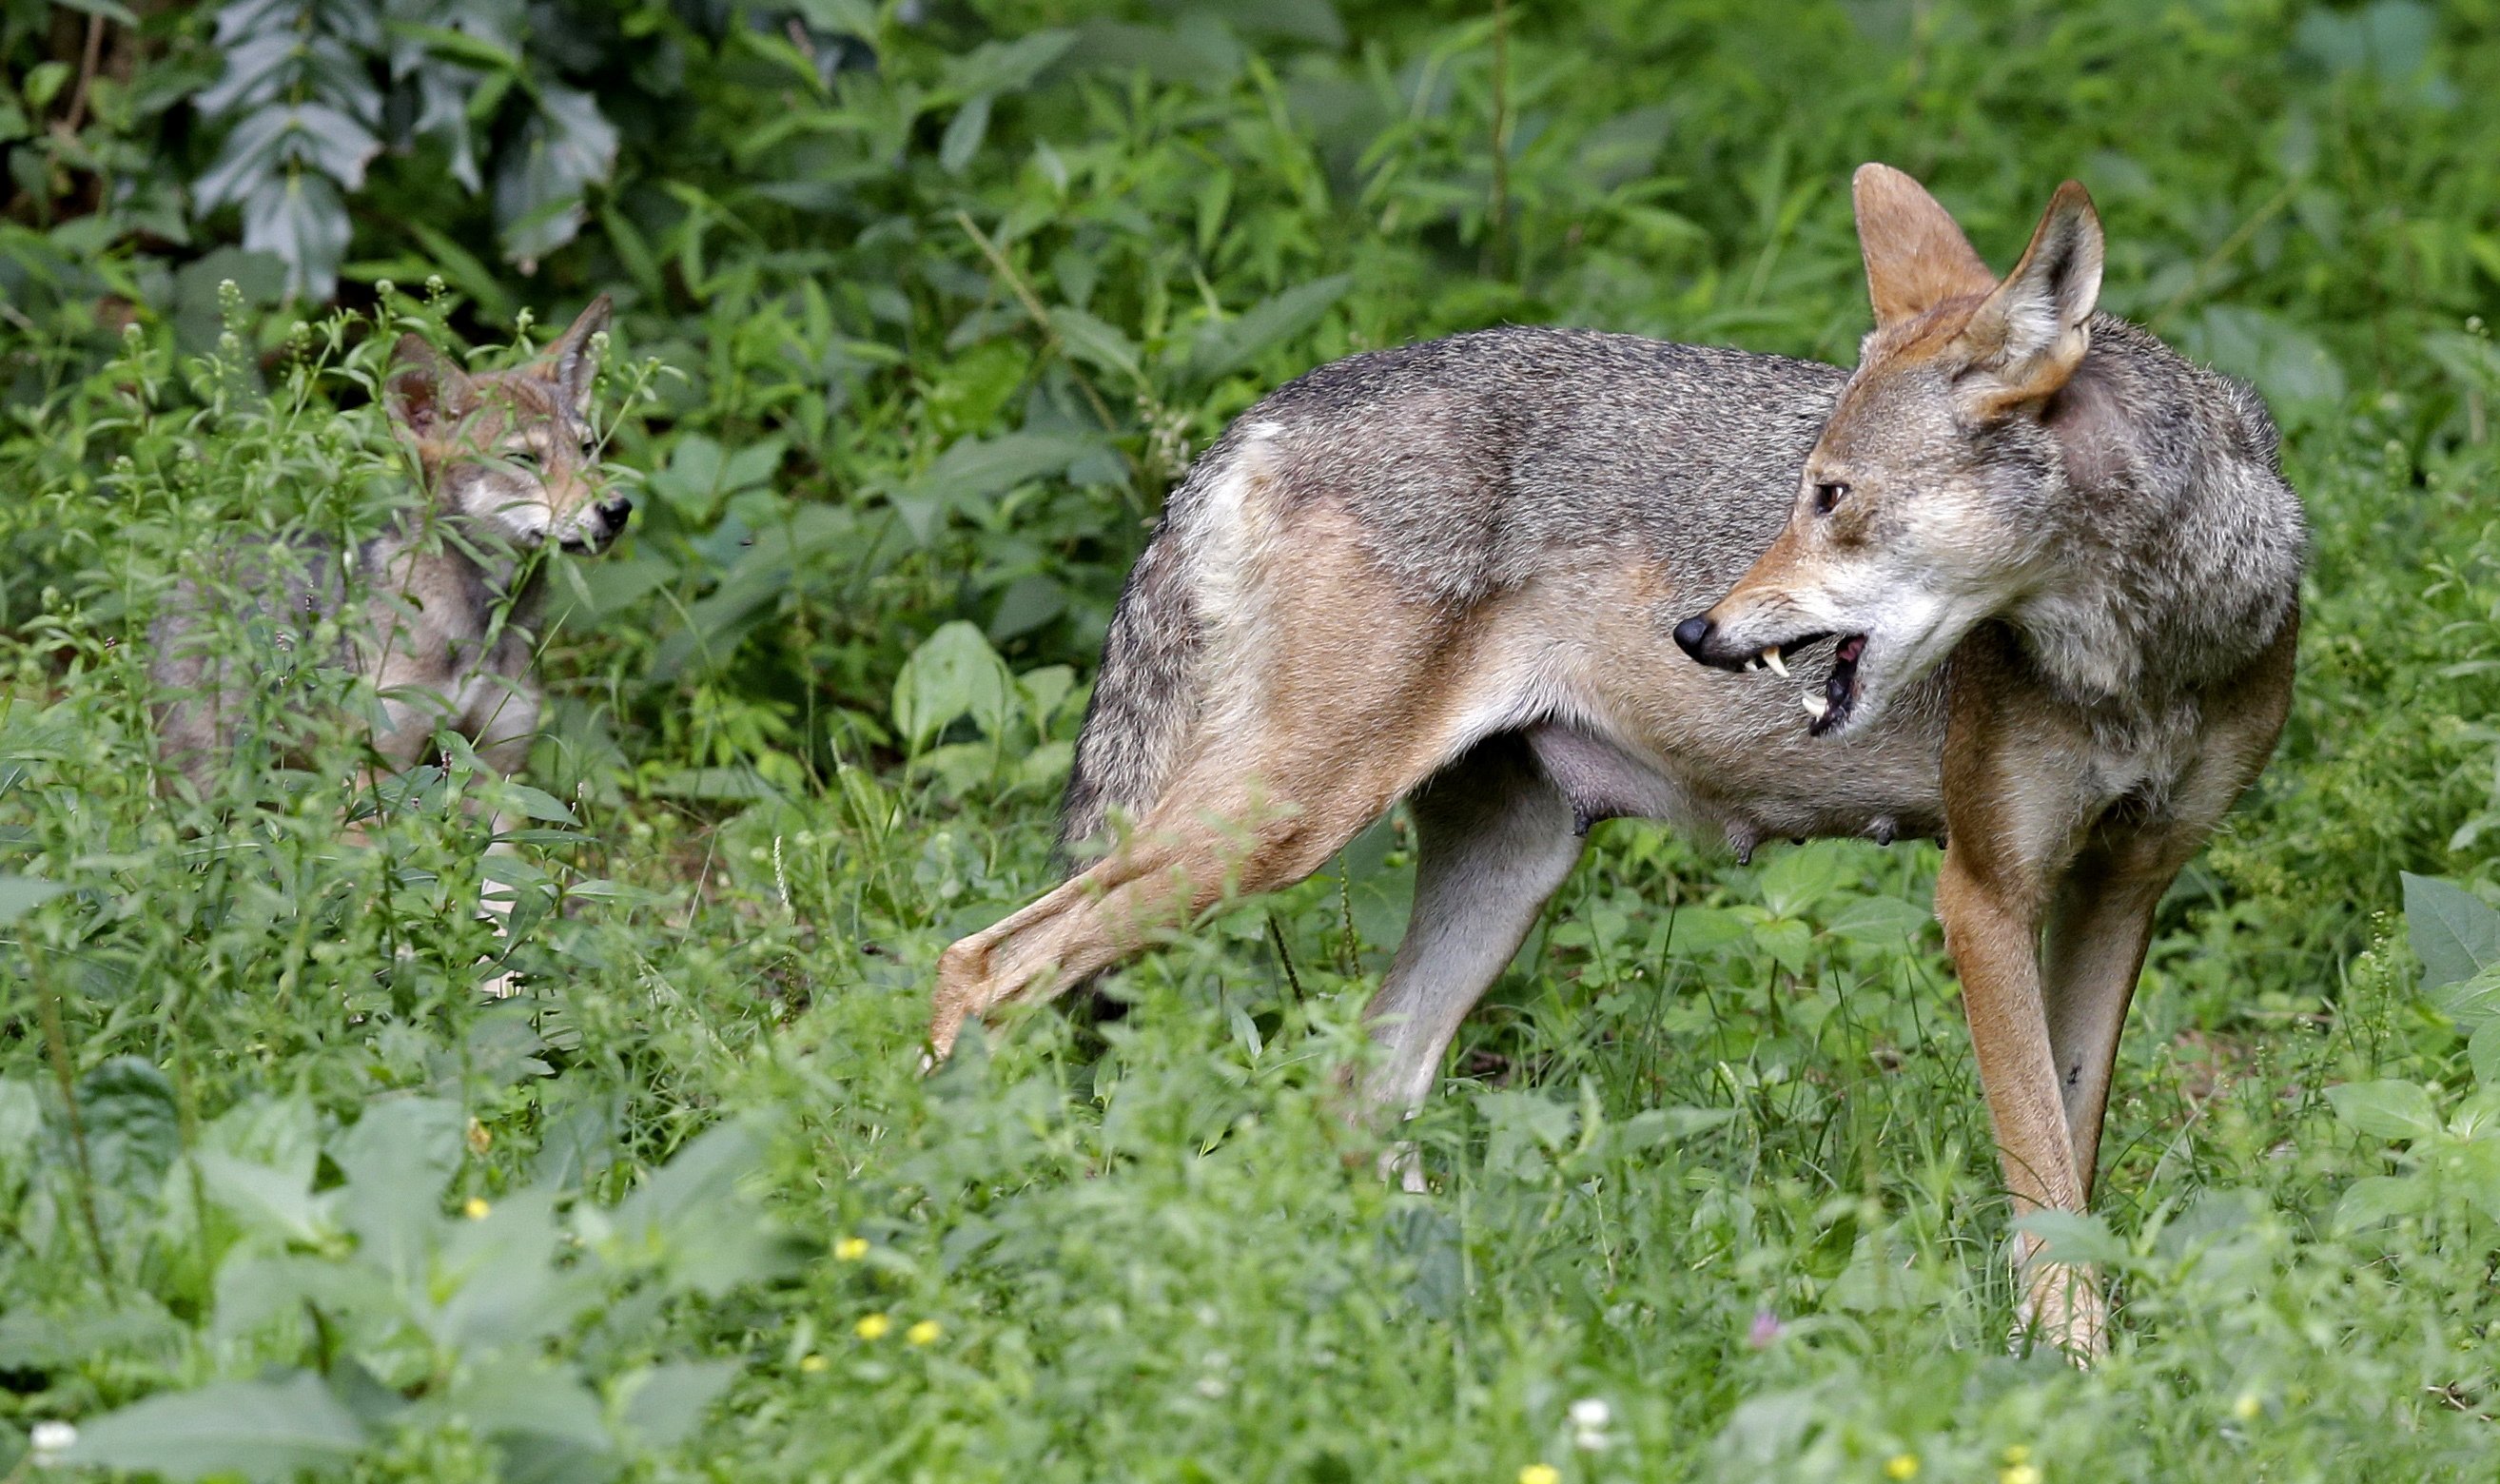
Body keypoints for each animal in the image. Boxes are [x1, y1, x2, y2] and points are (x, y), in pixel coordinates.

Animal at [152, 296, 628, 819]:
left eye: (588, 449)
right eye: (523, 460)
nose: (619, 509)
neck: (478, 627)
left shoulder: (497, 773)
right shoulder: (373, 771)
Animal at [932, 167, 2304, 1355]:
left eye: (1831, 497)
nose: (1698, 630)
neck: (2153, 650)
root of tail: (1268, 412)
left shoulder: (2122, 887)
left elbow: (2072, 1150)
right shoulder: (1982, 894)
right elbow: (2041, 1170)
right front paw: (2071, 1367)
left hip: (1505, 872)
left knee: (1358, 1090)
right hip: (1269, 836)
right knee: (980, 966)